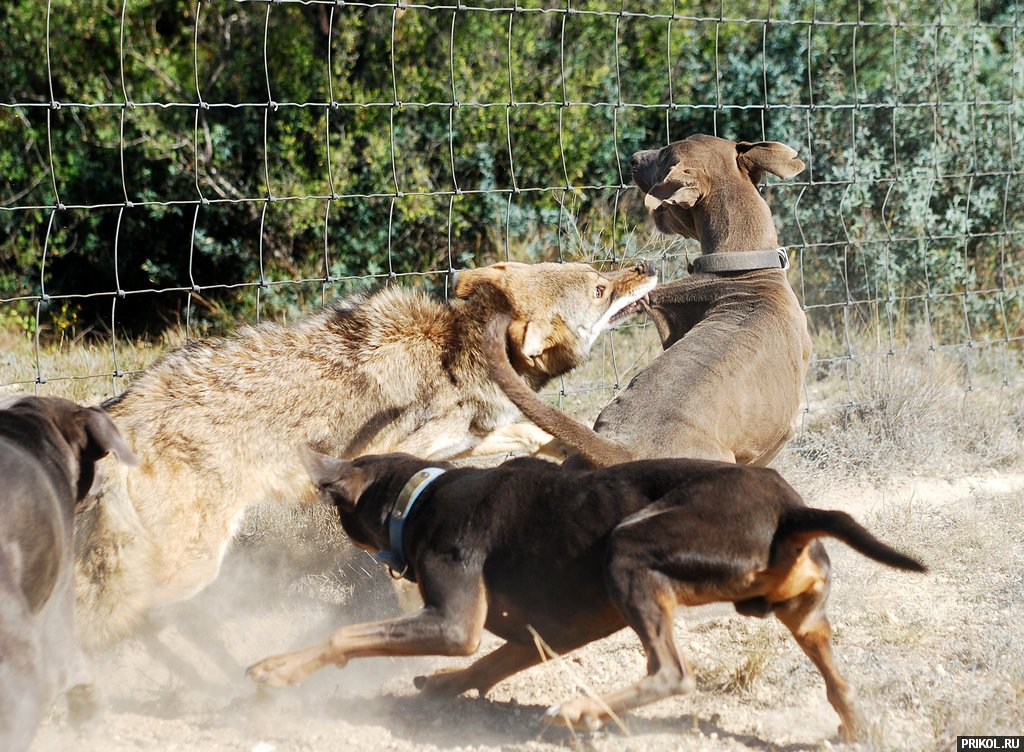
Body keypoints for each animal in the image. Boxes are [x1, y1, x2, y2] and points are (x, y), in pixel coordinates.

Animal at [75, 262, 659, 651]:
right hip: (189, 565)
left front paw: (581, 447)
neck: (461, 350)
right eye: (600, 288)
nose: (646, 266)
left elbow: (527, 433)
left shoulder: (471, 435)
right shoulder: (394, 453)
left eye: (595, 269)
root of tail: (118, 410)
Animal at [249, 446, 929, 741]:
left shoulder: (453, 622)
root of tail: (791, 511)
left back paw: (582, 710)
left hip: (629, 550)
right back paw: (854, 727)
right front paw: (442, 686)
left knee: (671, 672)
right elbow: (488, 664)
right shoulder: (543, 632)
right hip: (804, 614)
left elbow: (344, 634)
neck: (418, 493)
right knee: (840, 684)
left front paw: (277, 668)